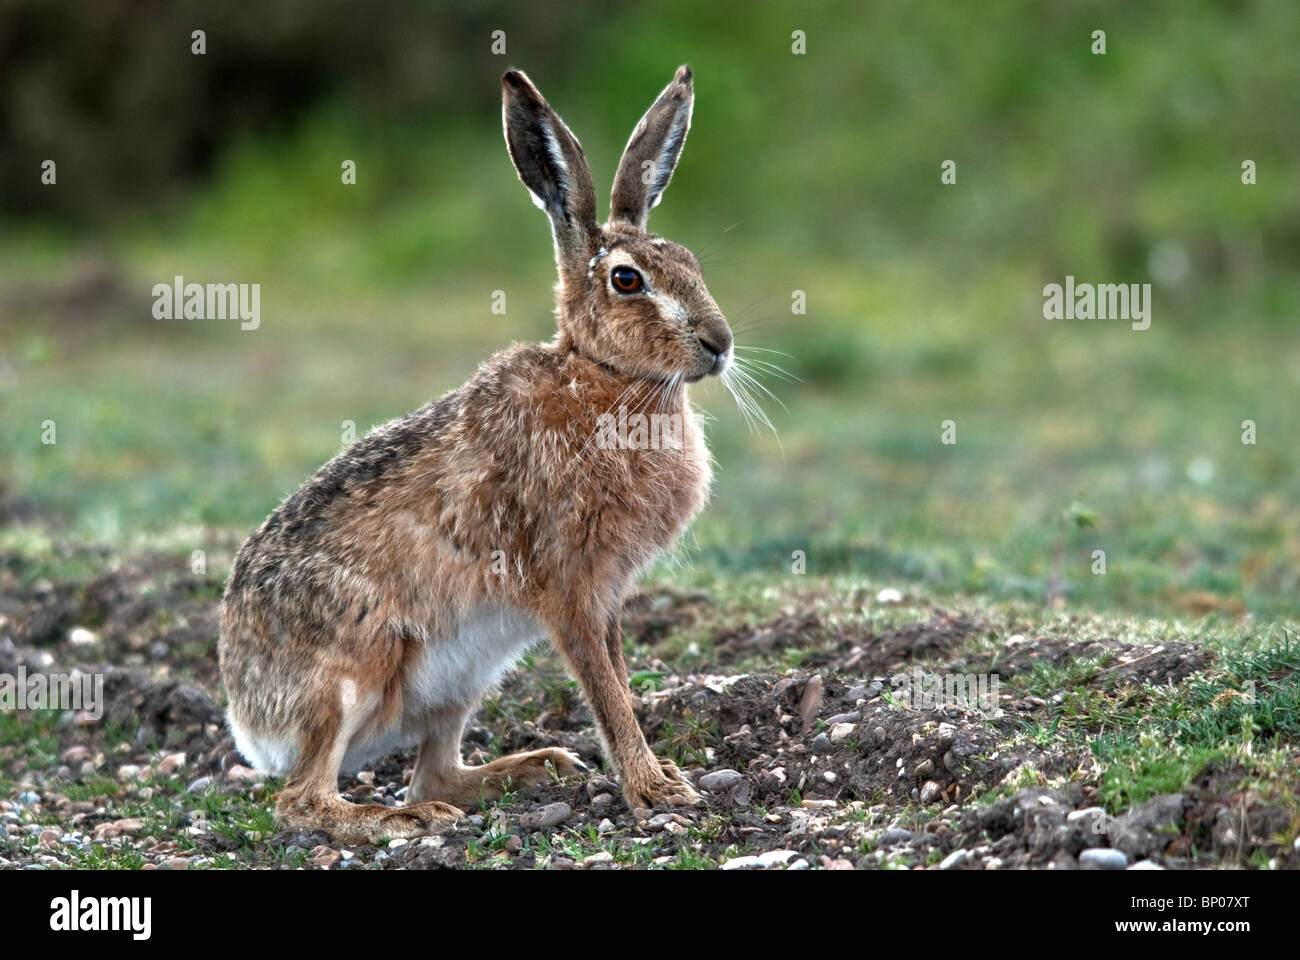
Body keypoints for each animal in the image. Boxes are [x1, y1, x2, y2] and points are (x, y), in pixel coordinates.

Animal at [218, 64, 733, 845]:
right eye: (627, 280)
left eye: (693, 263)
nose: (719, 342)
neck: (604, 378)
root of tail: (249, 719)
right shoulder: (569, 587)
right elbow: (606, 692)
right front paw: (656, 789)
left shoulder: (607, 594)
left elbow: (615, 678)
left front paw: (652, 777)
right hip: (355, 667)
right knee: (303, 799)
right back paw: (402, 818)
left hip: (463, 678)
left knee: (436, 768)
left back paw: (537, 768)